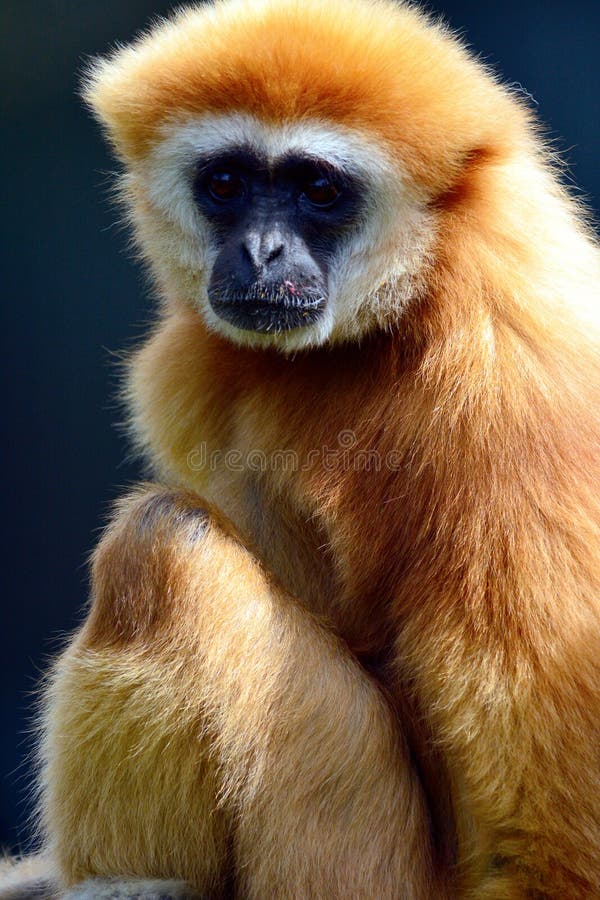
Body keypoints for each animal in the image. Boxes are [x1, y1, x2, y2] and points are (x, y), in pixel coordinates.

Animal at [2, 0, 599, 897]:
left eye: (319, 190)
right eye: (226, 184)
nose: (262, 251)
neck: (408, 305)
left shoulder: (512, 402)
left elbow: (544, 847)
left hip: (351, 855)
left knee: (162, 546)